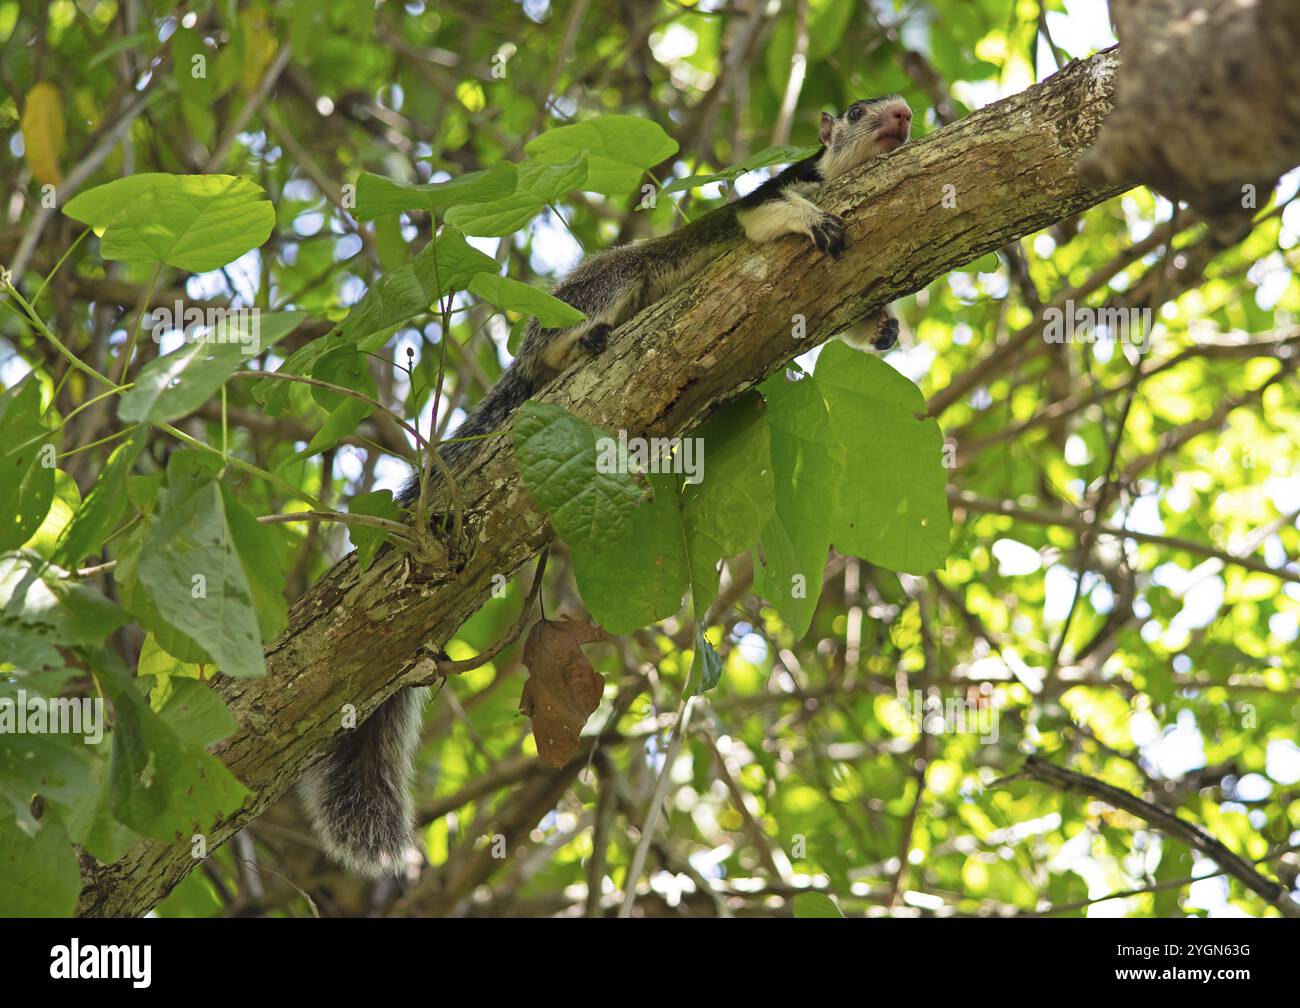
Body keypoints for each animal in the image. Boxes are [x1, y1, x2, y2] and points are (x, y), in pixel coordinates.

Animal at [297, 95, 914, 877]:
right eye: (862, 111)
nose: (901, 112)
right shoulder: (777, 192)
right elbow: (764, 216)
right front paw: (814, 223)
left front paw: (885, 327)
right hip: (607, 282)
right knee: (588, 313)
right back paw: (576, 343)